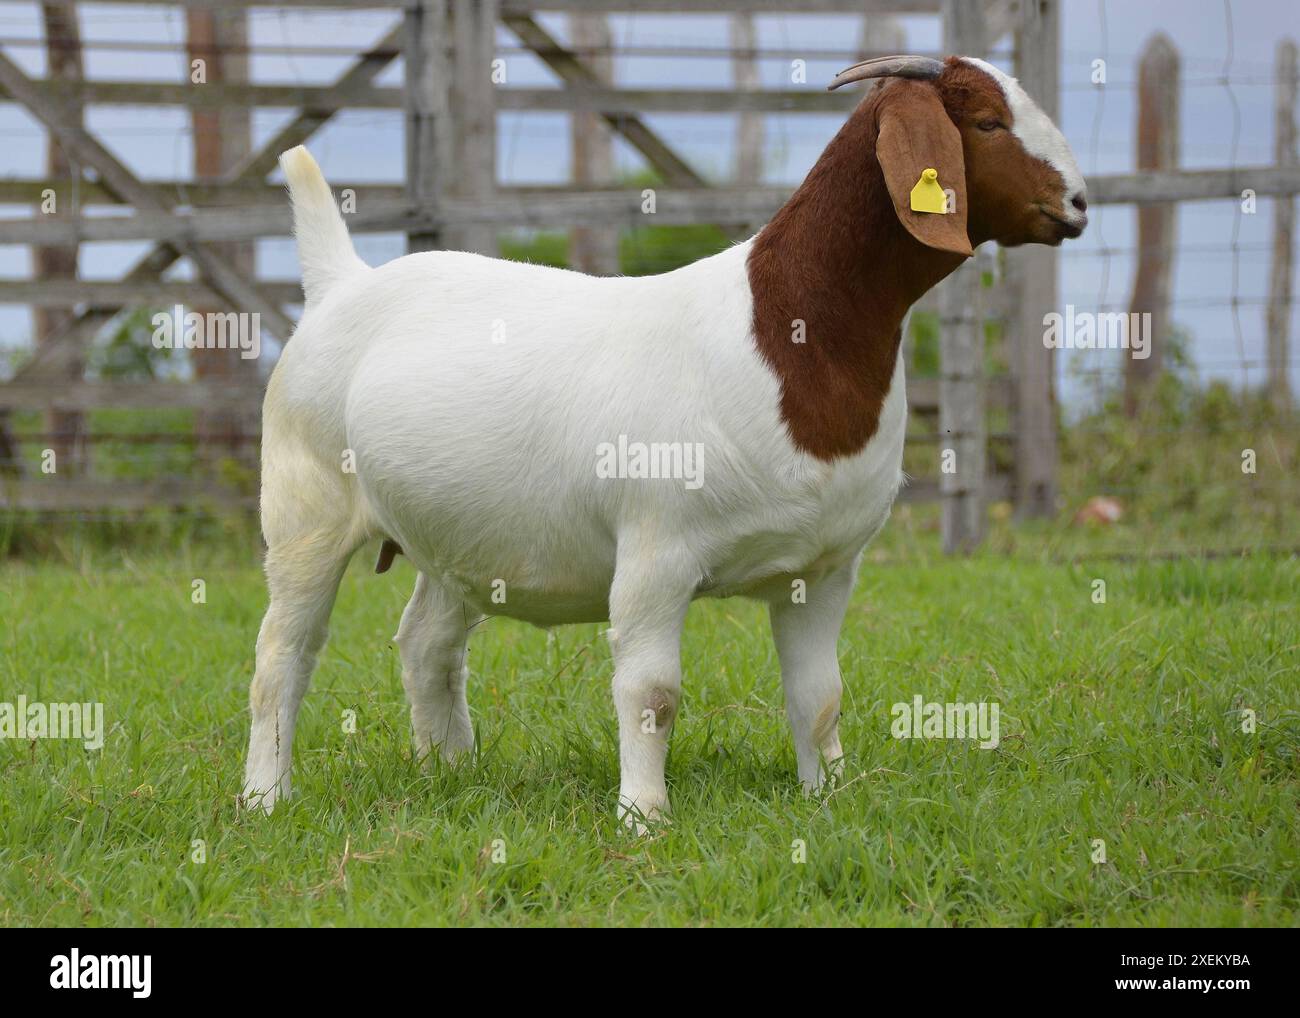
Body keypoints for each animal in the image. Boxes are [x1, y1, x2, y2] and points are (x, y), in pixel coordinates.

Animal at [242, 55, 1087, 826]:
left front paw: (827, 799)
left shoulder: (825, 568)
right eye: (987, 122)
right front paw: (644, 817)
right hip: (305, 509)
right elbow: (651, 692)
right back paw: (264, 797)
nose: (1077, 203)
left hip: (460, 537)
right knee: (283, 654)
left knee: (426, 646)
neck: (784, 336)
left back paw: (449, 775)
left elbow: (819, 695)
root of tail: (341, 283)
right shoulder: (655, 553)